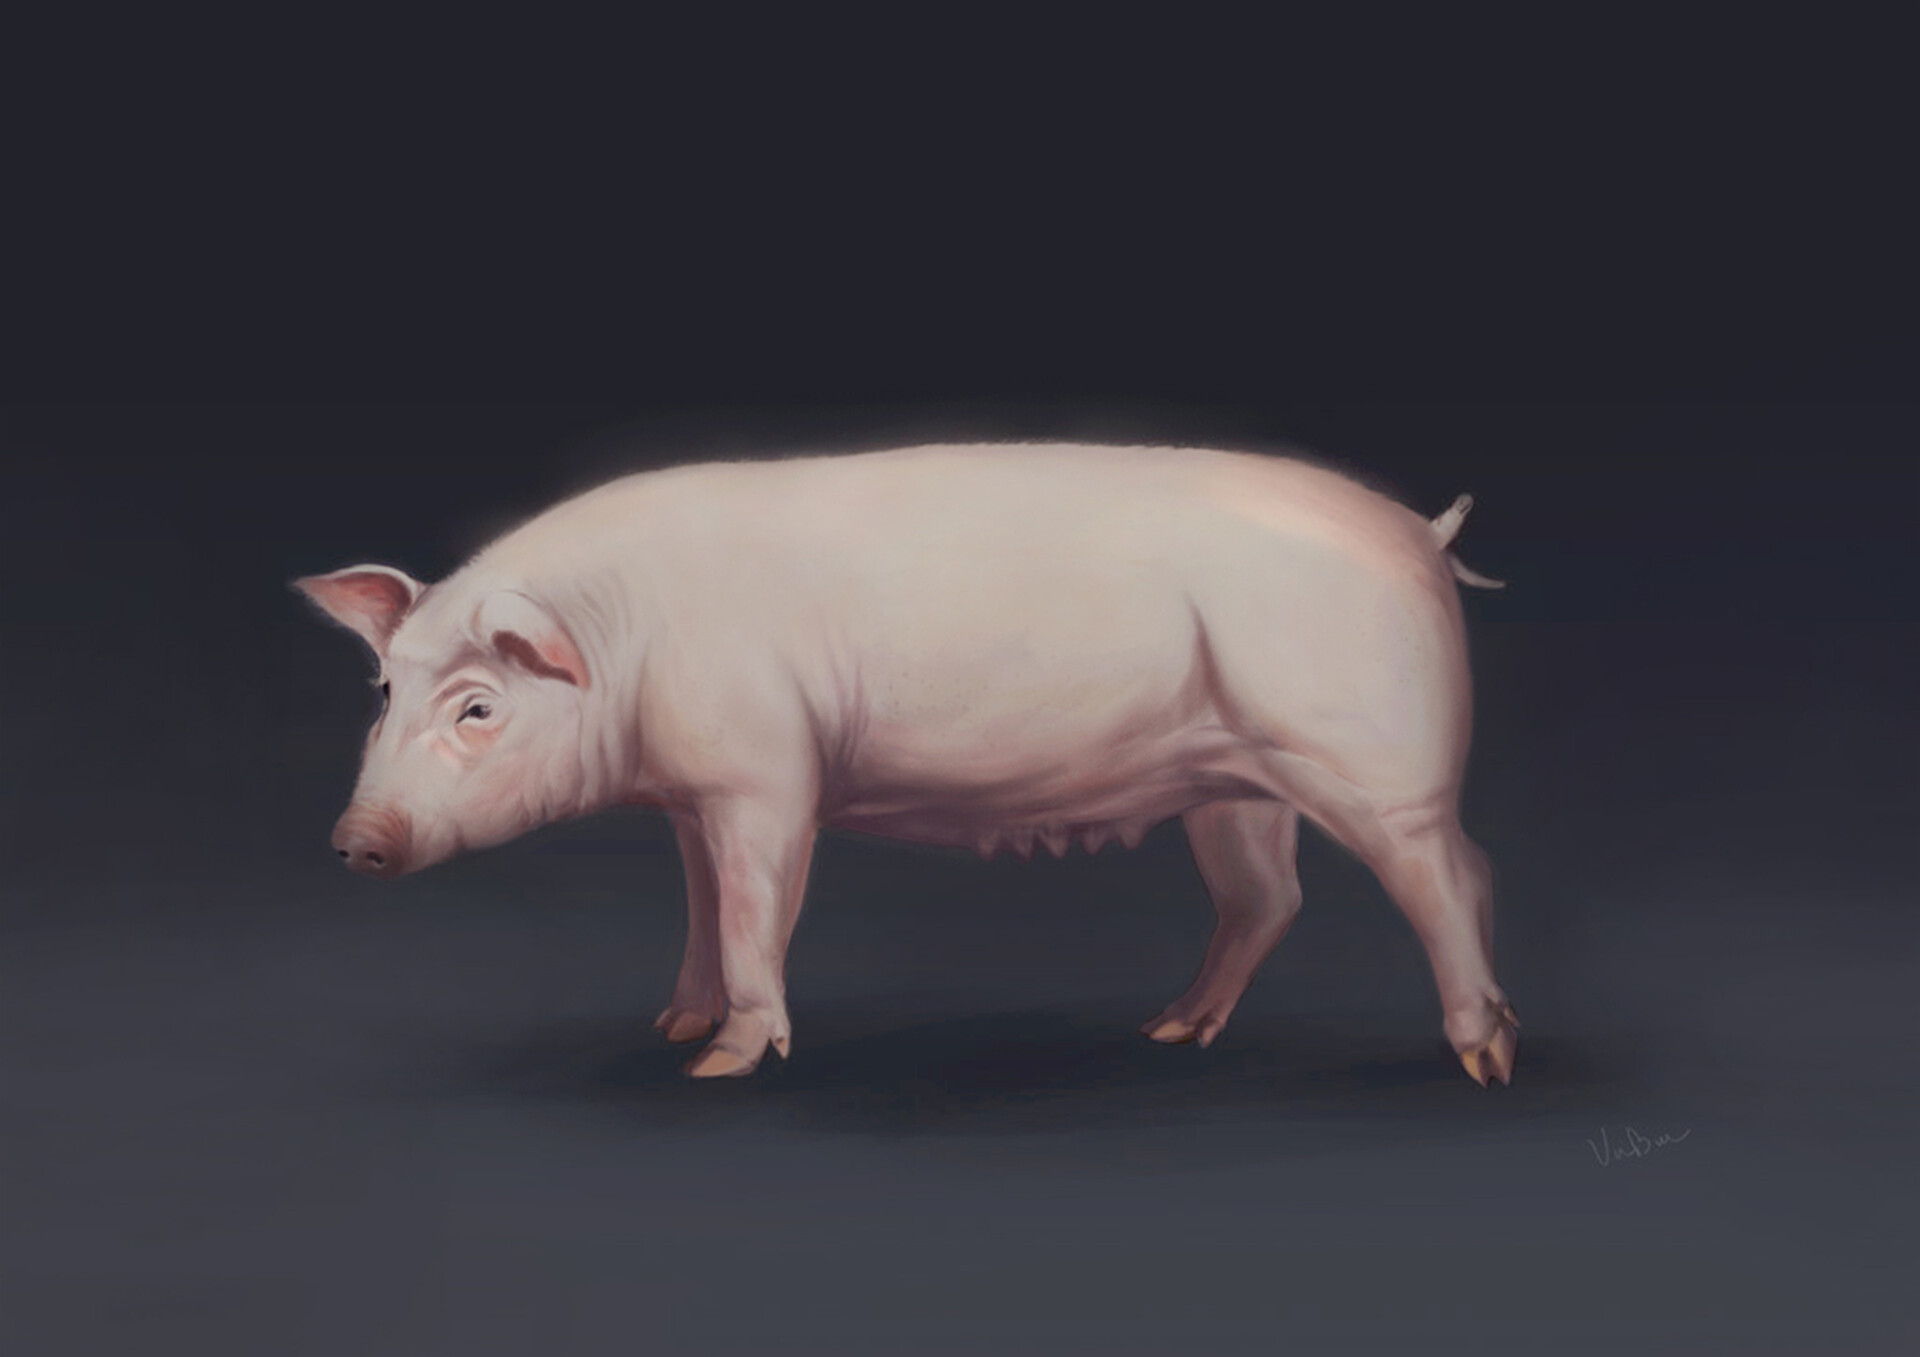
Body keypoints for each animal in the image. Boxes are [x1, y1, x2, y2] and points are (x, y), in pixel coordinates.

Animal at [295, 442, 1519, 1086]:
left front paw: (719, 1064)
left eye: (479, 705)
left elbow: (755, 912)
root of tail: (1420, 533)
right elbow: (701, 907)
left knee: (1454, 875)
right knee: (1270, 896)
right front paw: (671, 1029)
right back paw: (1166, 1031)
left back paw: (1484, 1060)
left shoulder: (768, 776)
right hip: (1234, 781)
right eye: (387, 690)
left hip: (1377, 761)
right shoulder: (694, 795)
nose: (354, 840)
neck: (619, 642)